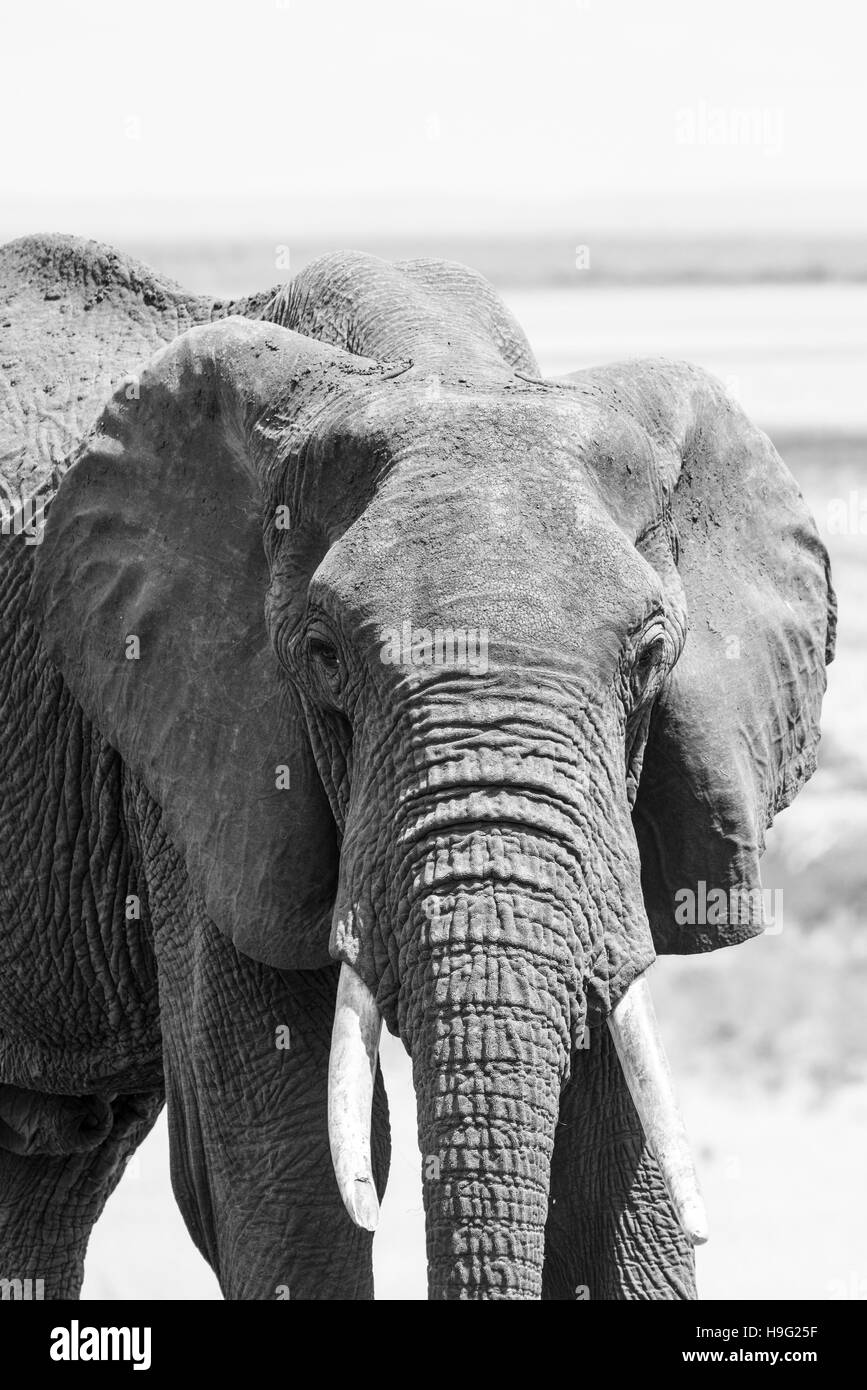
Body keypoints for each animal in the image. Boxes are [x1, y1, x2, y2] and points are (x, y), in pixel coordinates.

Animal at [0, 233, 834, 1300]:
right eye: (323, 657)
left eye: (651, 657)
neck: (439, 365)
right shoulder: (193, 753)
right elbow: (277, 1170)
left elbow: (616, 1166)